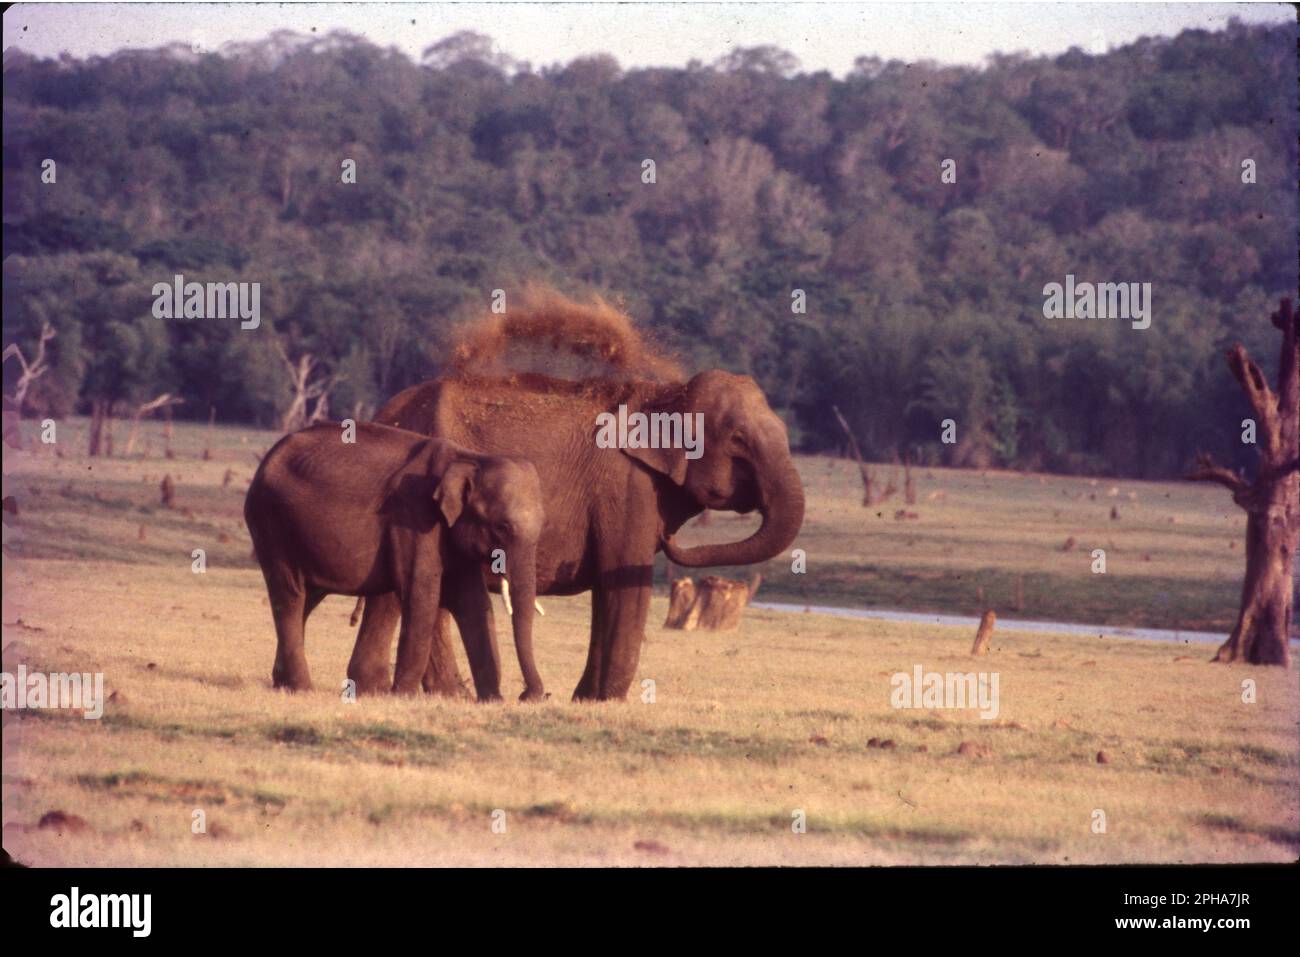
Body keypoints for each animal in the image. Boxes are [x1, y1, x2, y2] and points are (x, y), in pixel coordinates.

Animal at [244, 421, 546, 700]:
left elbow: (473, 602)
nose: (529, 695)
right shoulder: (414, 516)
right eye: (502, 527)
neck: (469, 458)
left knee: (307, 598)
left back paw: (283, 684)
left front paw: (492, 700)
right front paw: (405, 696)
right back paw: (301, 689)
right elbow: (422, 593)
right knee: (290, 594)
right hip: (271, 523)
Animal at [347, 367, 805, 701]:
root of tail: (383, 412)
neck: (667, 394)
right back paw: (449, 695)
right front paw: (611, 702)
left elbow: (609, 586)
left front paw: (586, 700)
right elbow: (627, 584)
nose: (670, 541)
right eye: (739, 439)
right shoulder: (628, 489)